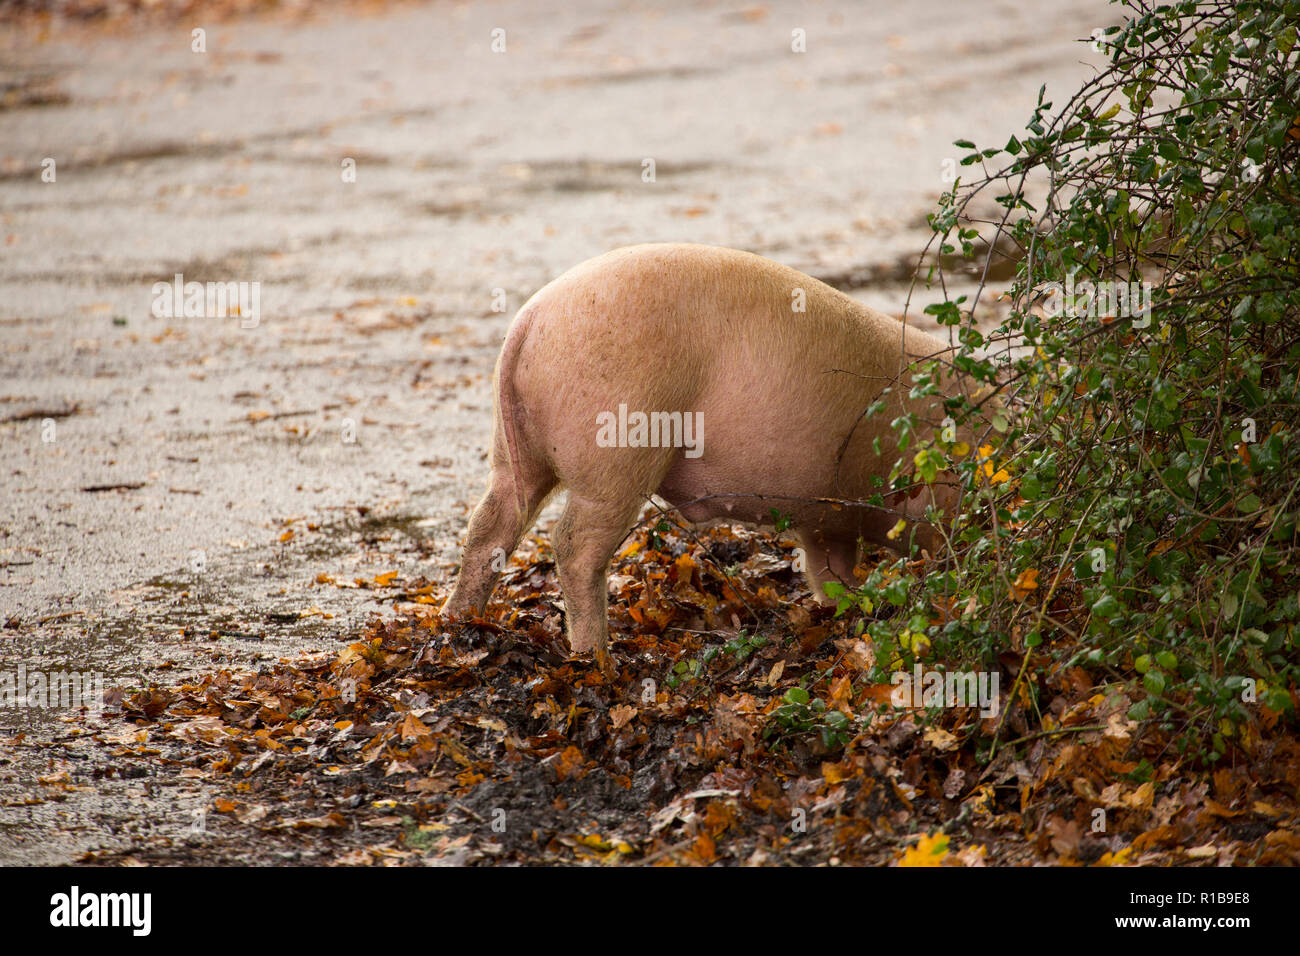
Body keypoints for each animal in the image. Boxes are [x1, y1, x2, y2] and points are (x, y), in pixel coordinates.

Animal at [442, 243, 968, 672]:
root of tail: (531, 318)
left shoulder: (827, 521)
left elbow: (830, 571)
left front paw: (849, 610)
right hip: (619, 450)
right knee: (573, 545)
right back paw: (599, 658)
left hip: (514, 452)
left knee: (490, 523)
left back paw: (458, 624)